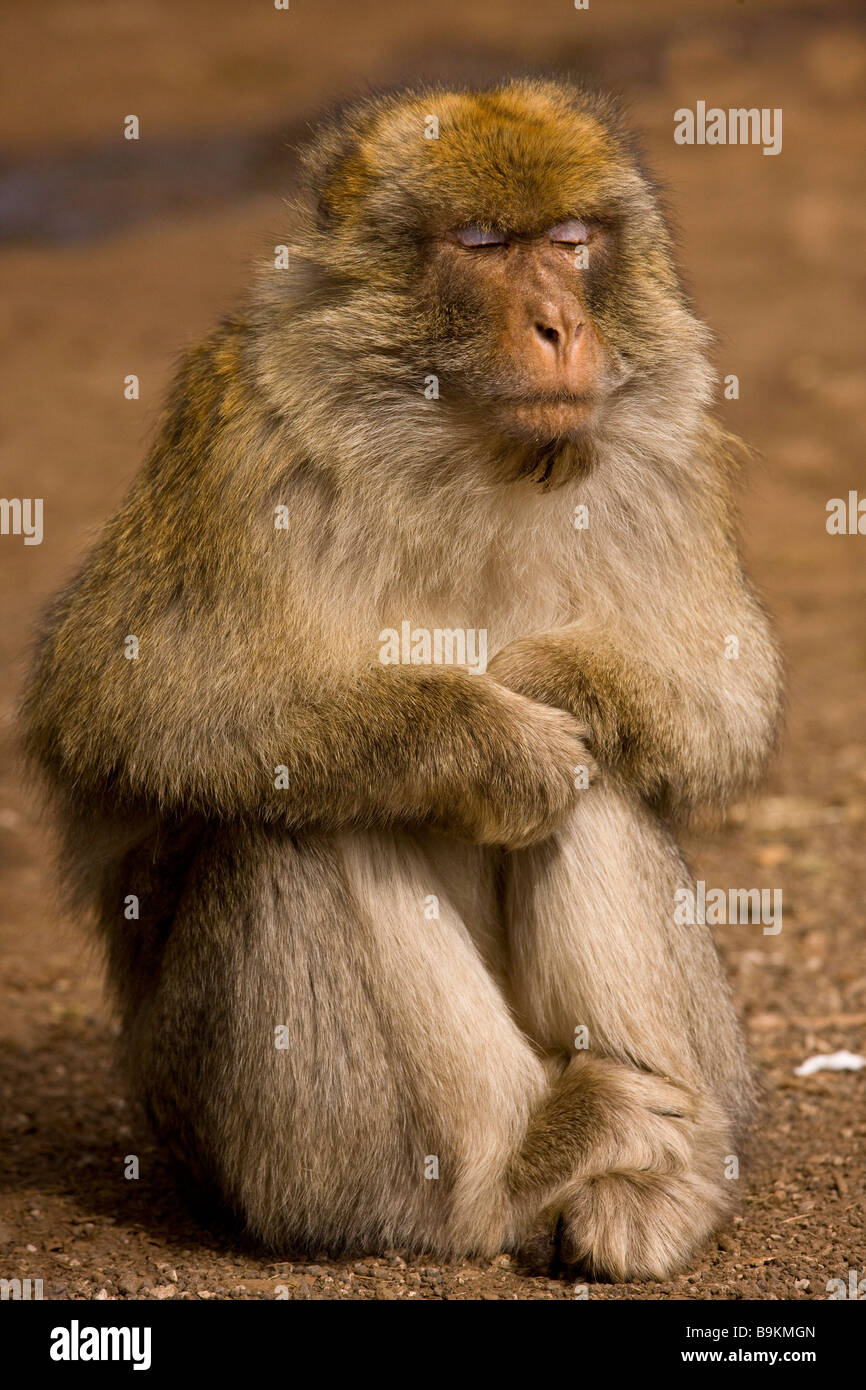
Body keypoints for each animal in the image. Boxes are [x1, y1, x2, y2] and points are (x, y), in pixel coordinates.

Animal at [22, 78, 783, 1282]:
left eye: (570, 241)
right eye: (481, 245)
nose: (562, 327)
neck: (467, 446)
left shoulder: (669, 462)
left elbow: (720, 697)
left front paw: (547, 677)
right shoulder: (244, 439)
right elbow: (126, 705)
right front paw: (483, 736)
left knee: (600, 781)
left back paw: (644, 1191)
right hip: (227, 1135)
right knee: (297, 822)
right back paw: (515, 1167)